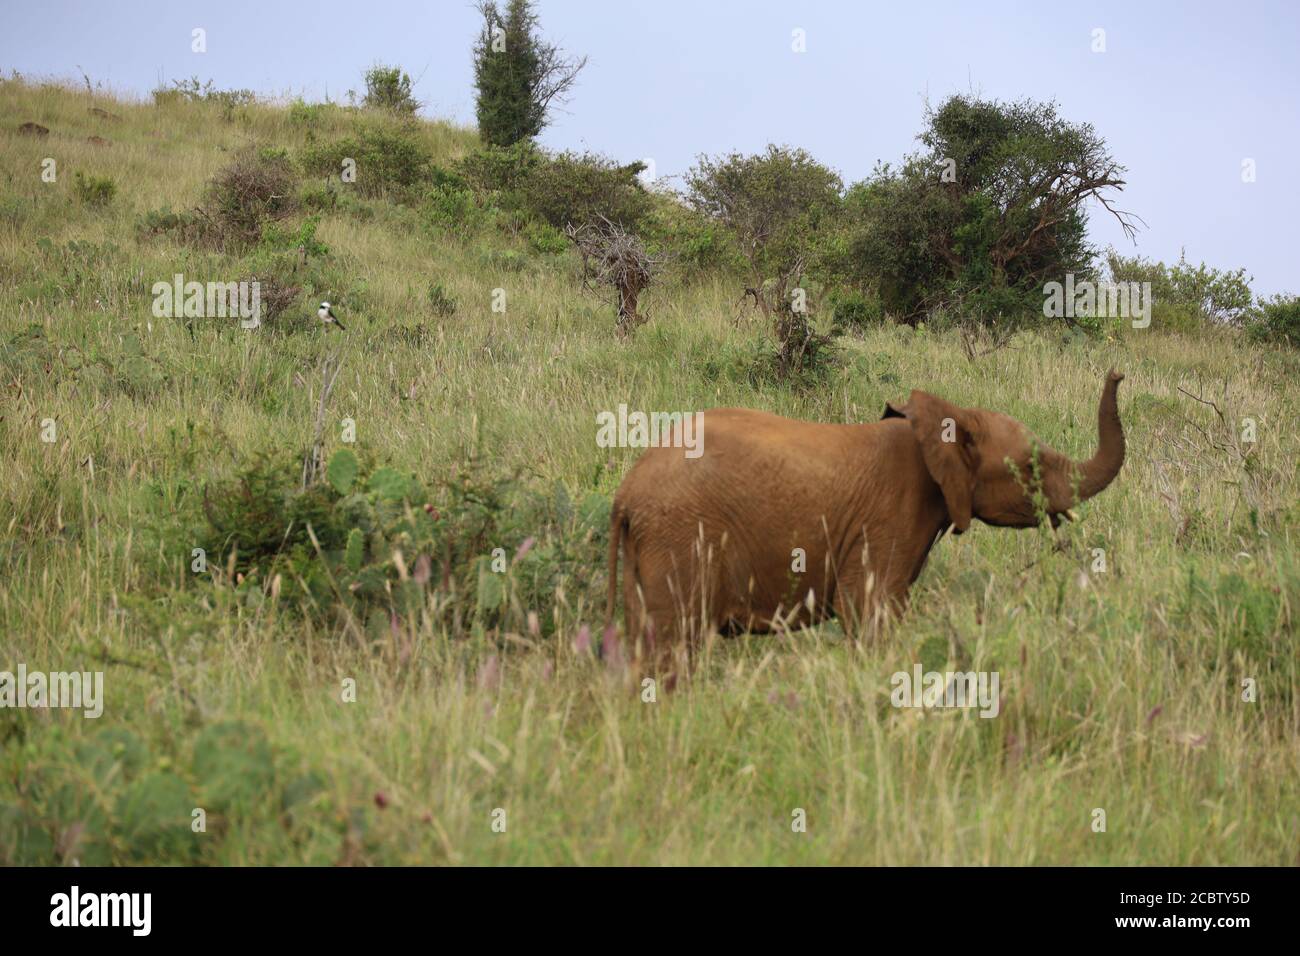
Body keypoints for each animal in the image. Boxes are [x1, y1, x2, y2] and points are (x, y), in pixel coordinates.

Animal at [605, 370, 1125, 671]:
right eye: (1032, 466)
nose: (1117, 372)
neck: (946, 418)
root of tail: (626, 494)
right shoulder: (889, 517)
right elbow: (867, 611)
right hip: (678, 538)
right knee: (673, 644)